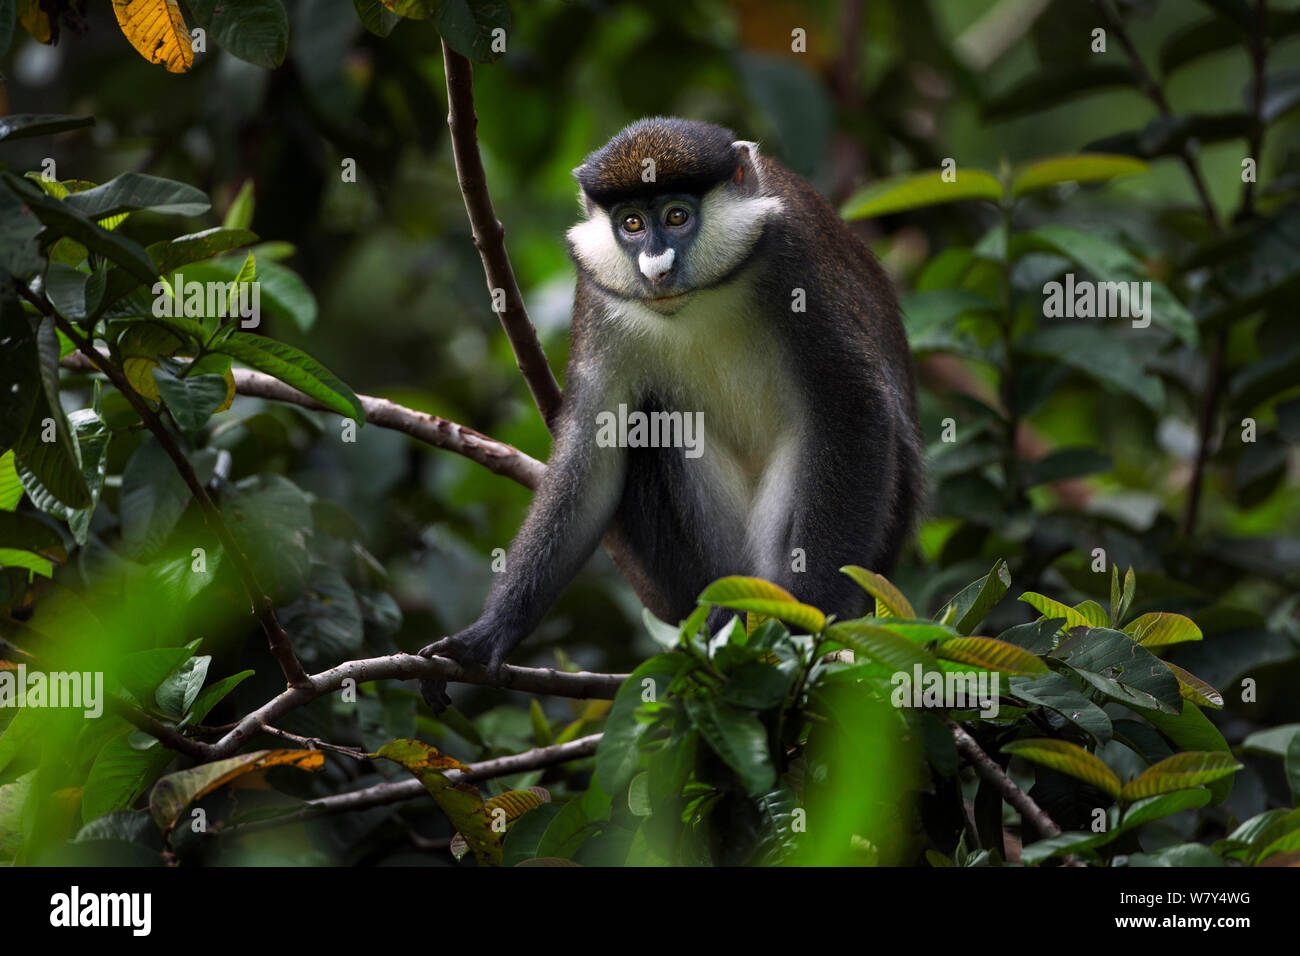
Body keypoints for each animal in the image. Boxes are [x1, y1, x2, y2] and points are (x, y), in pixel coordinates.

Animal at [419, 117, 920, 711]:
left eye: (677, 216)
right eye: (632, 223)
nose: (655, 266)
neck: (706, 295)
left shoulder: (798, 262)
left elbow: (856, 408)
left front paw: (805, 627)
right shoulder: (599, 298)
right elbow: (592, 456)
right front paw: (487, 635)